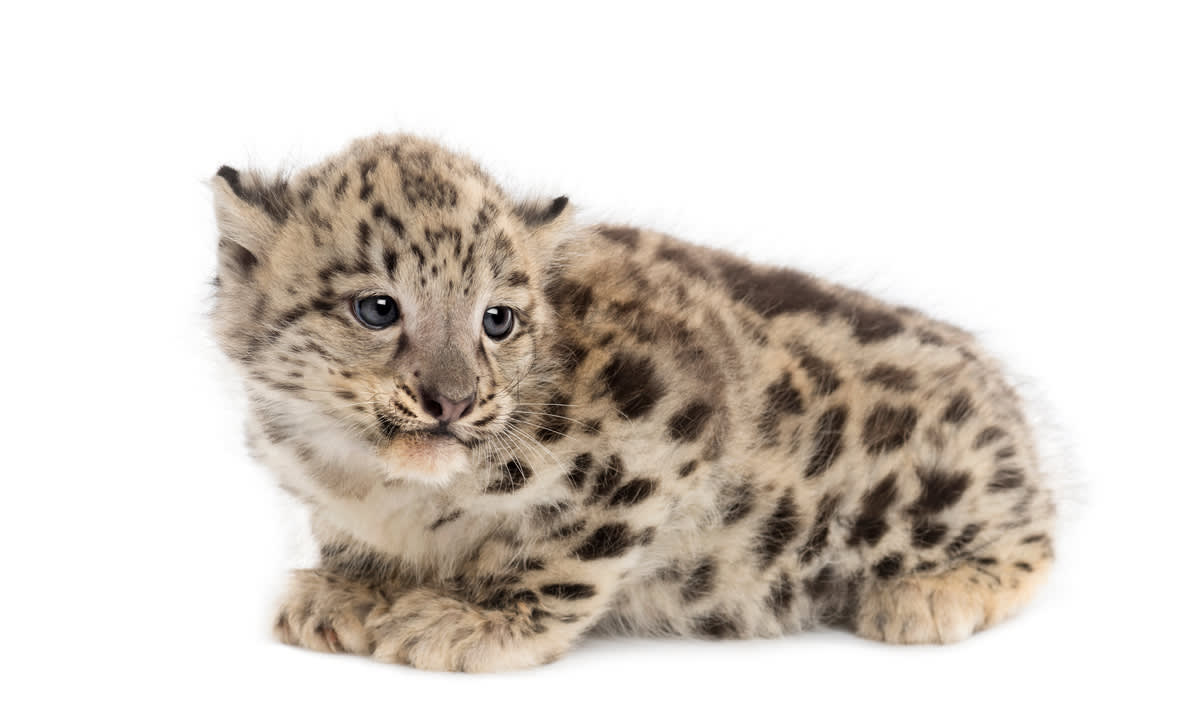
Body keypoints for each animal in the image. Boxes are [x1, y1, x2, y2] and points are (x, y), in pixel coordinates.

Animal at [210, 132, 1057, 672]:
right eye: (378, 309)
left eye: (498, 319)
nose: (453, 400)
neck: (372, 481)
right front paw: (347, 591)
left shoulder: (665, 428)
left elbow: (568, 558)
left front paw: (475, 621)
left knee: (1034, 538)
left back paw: (927, 596)